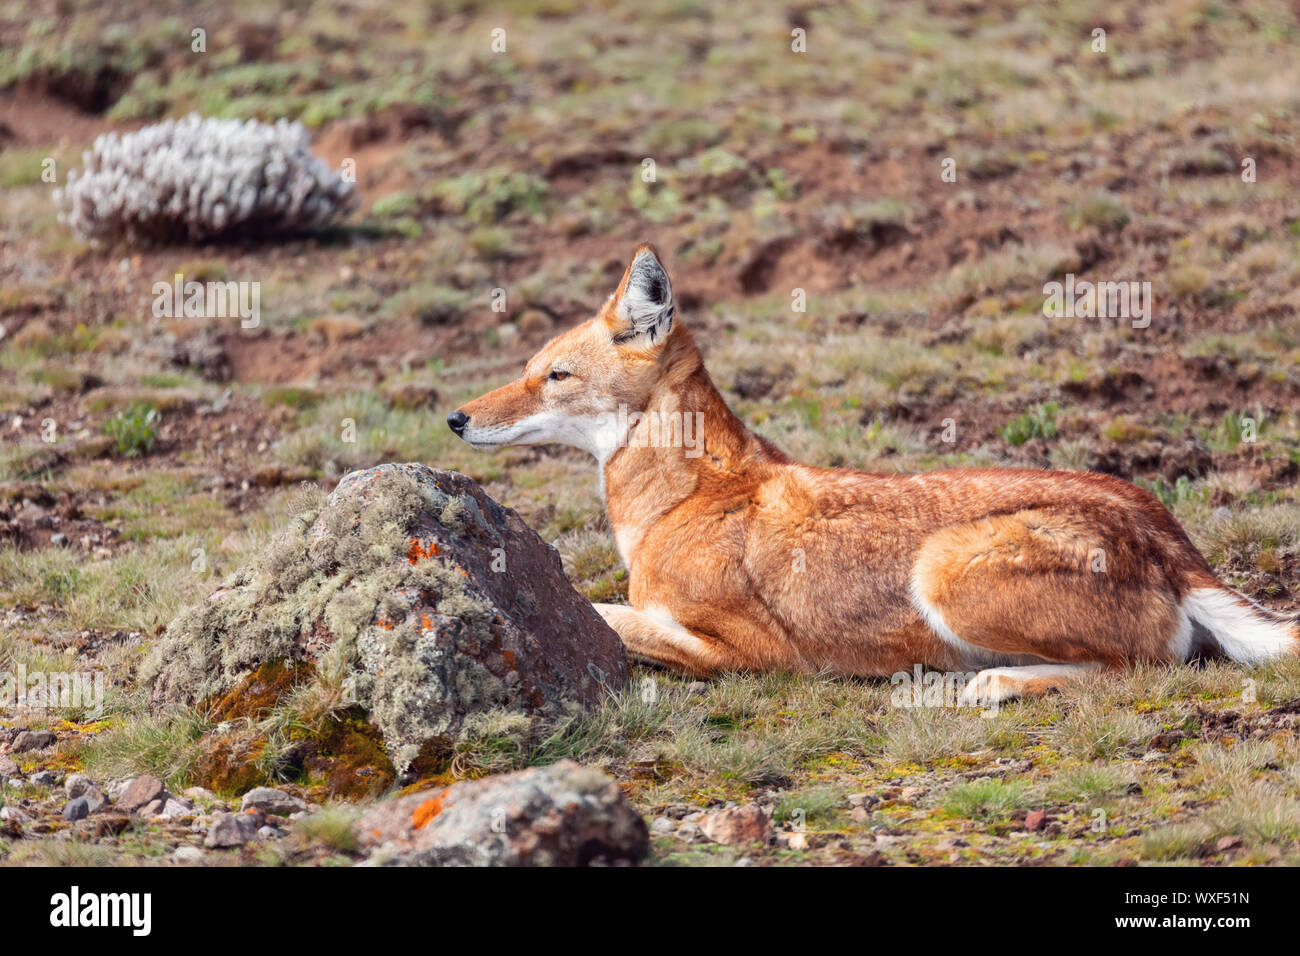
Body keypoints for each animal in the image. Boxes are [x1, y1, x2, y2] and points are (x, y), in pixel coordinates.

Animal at [447, 242, 1299, 703]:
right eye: (527, 370)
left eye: (554, 376)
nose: (455, 418)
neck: (677, 499)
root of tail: (1169, 533)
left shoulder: (753, 653)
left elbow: (608, 616)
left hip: (942, 572)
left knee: (1149, 669)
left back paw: (997, 683)